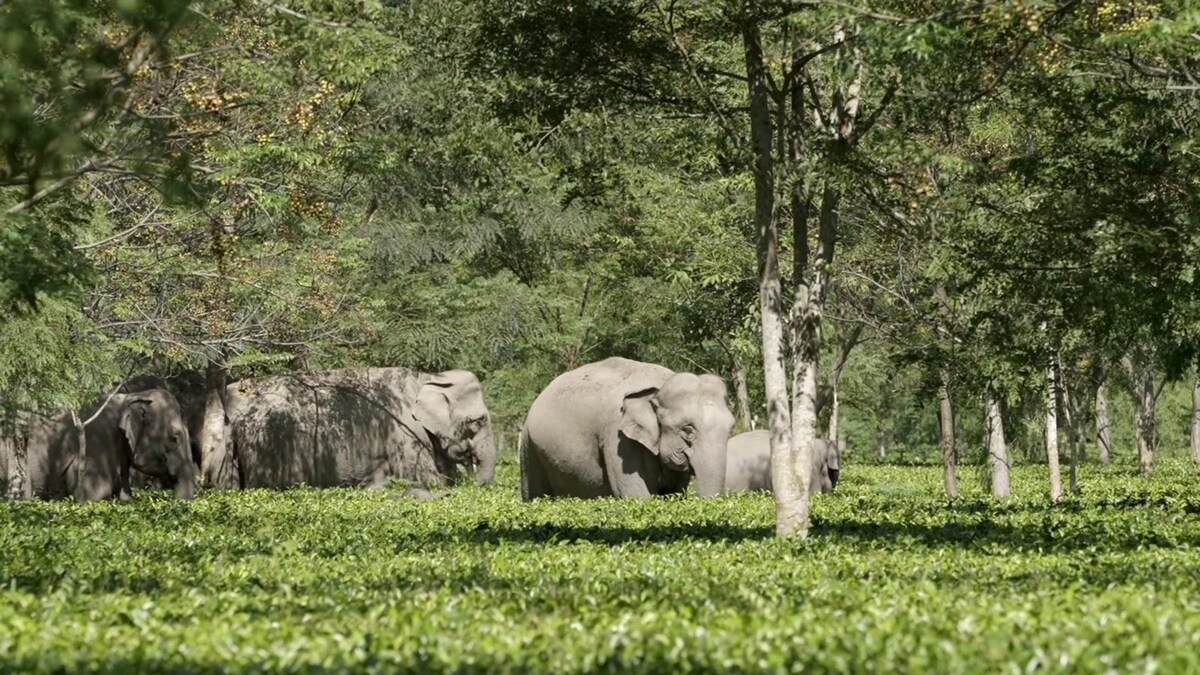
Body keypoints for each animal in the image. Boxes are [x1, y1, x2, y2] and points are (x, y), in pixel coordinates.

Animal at [519, 356, 735, 500]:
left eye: (731, 429)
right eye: (687, 430)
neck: (660, 385)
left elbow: (673, 492)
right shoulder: (617, 438)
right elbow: (636, 495)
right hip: (529, 447)